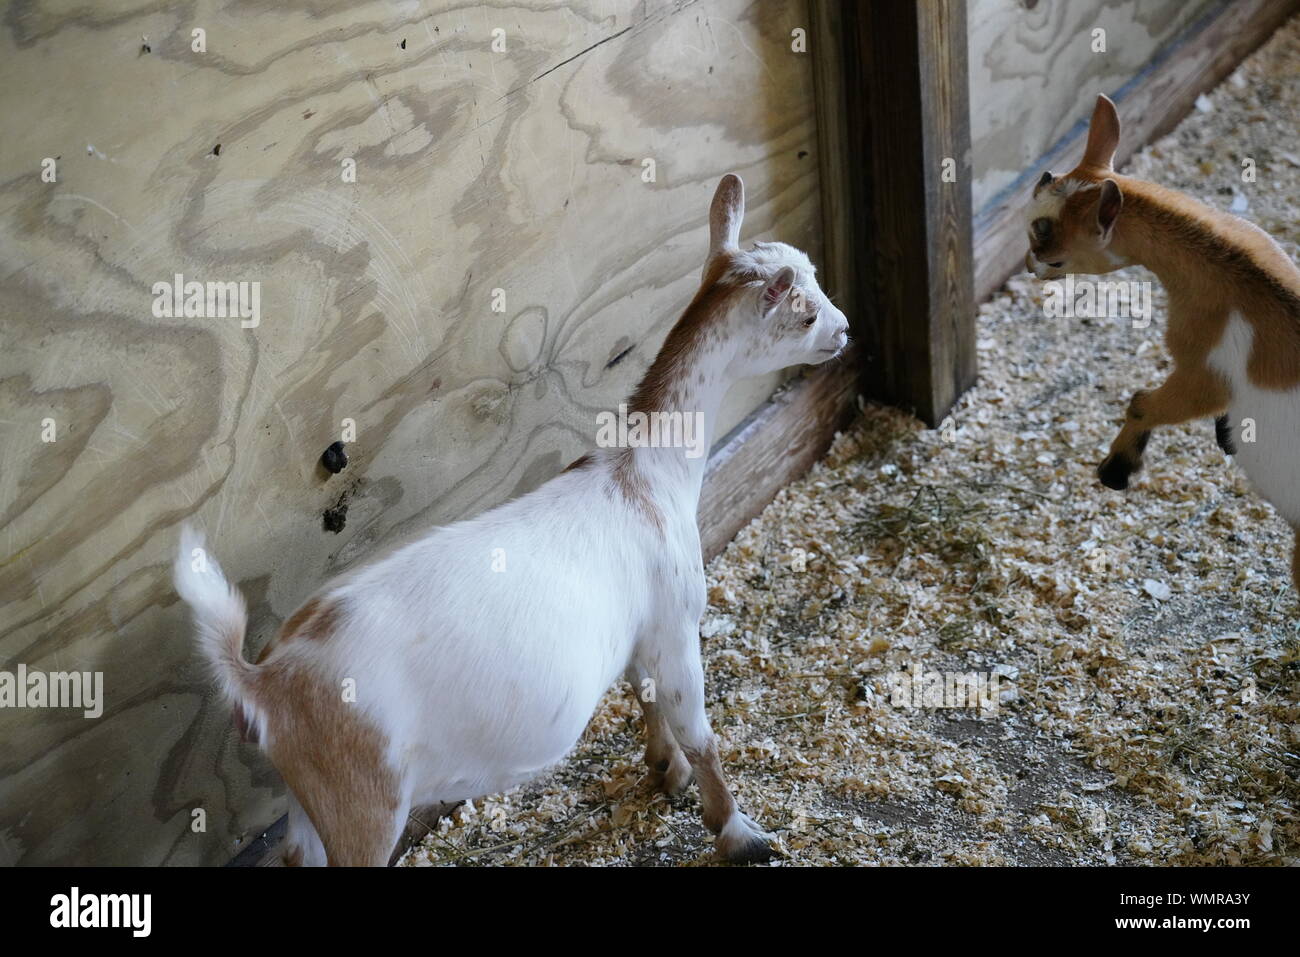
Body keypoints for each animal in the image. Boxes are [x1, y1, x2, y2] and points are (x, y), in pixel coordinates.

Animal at [174, 174, 851, 866]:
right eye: (804, 313)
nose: (845, 329)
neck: (645, 473)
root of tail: (264, 681)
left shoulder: (637, 630)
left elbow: (643, 696)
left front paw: (668, 772)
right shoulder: (675, 621)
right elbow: (700, 732)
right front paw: (738, 831)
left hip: (309, 801)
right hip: (362, 799)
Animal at [1025, 93, 1300, 595]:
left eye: (1055, 257)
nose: (1030, 267)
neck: (1239, 273)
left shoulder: (1203, 366)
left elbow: (1143, 401)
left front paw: (1115, 471)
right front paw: (1225, 435)